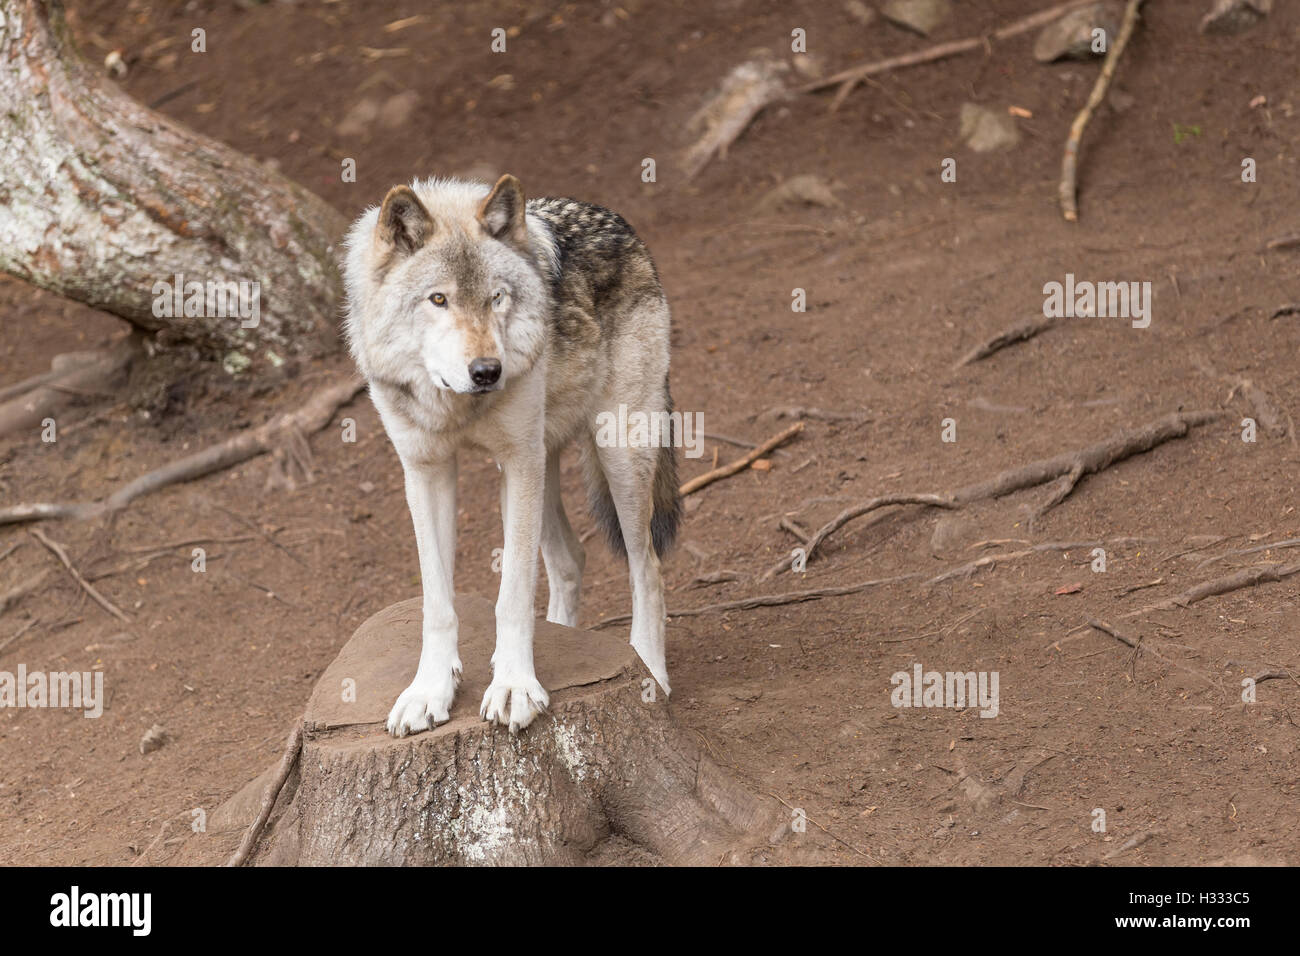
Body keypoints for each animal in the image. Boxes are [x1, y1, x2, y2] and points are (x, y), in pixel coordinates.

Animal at [343, 174, 681, 736]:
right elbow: (438, 602)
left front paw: (515, 687)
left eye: (497, 298)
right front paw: (429, 691)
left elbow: (514, 593)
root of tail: (619, 221)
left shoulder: (519, 462)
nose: (487, 371)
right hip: (542, 467)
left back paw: (650, 672)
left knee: (647, 568)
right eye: (438, 299)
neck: (457, 406)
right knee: (570, 560)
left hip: (616, 452)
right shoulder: (427, 471)